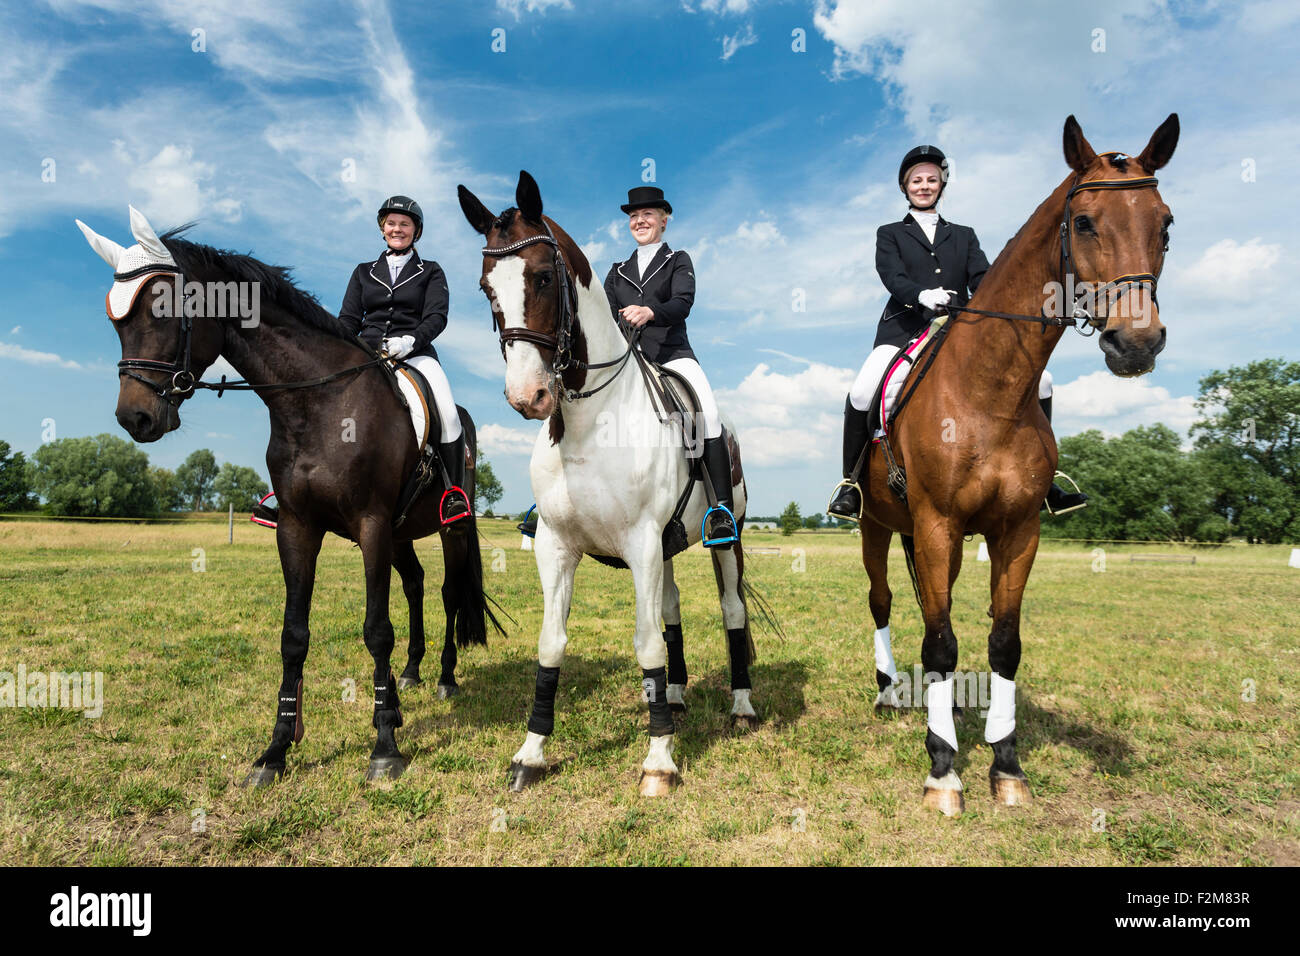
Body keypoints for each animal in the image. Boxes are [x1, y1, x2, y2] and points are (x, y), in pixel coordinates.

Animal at [75, 206, 501, 785]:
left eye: (162, 311)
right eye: (116, 322)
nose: (135, 418)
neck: (318, 404)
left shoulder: (370, 524)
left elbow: (376, 629)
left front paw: (384, 749)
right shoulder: (300, 527)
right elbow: (293, 635)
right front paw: (276, 750)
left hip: (449, 526)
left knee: (449, 591)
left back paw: (443, 678)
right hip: (400, 533)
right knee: (414, 585)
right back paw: (408, 678)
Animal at [458, 171, 762, 796]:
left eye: (543, 277)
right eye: (485, 287)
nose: (529, 397)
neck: (588, 421)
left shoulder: (640, 540)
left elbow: (645, 641)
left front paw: (659, 761)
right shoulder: (557, 546)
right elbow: (552, 643)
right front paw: (531, 753)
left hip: (727, 538)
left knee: (731, 608)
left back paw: (741, 707)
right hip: (666, 548)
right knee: (670, 609)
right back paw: (675, 696)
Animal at [857, 114, 1179, 815]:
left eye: (1165, 224)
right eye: (1083, 222)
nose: (1137, 343)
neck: (990, 393)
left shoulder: (1018, 531)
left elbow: (1003, 643)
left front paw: (1005, 765)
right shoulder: (937, 525)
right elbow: (941, 641)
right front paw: (943, 768)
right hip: (876, 526)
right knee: (885, 601)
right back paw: (889, 691)